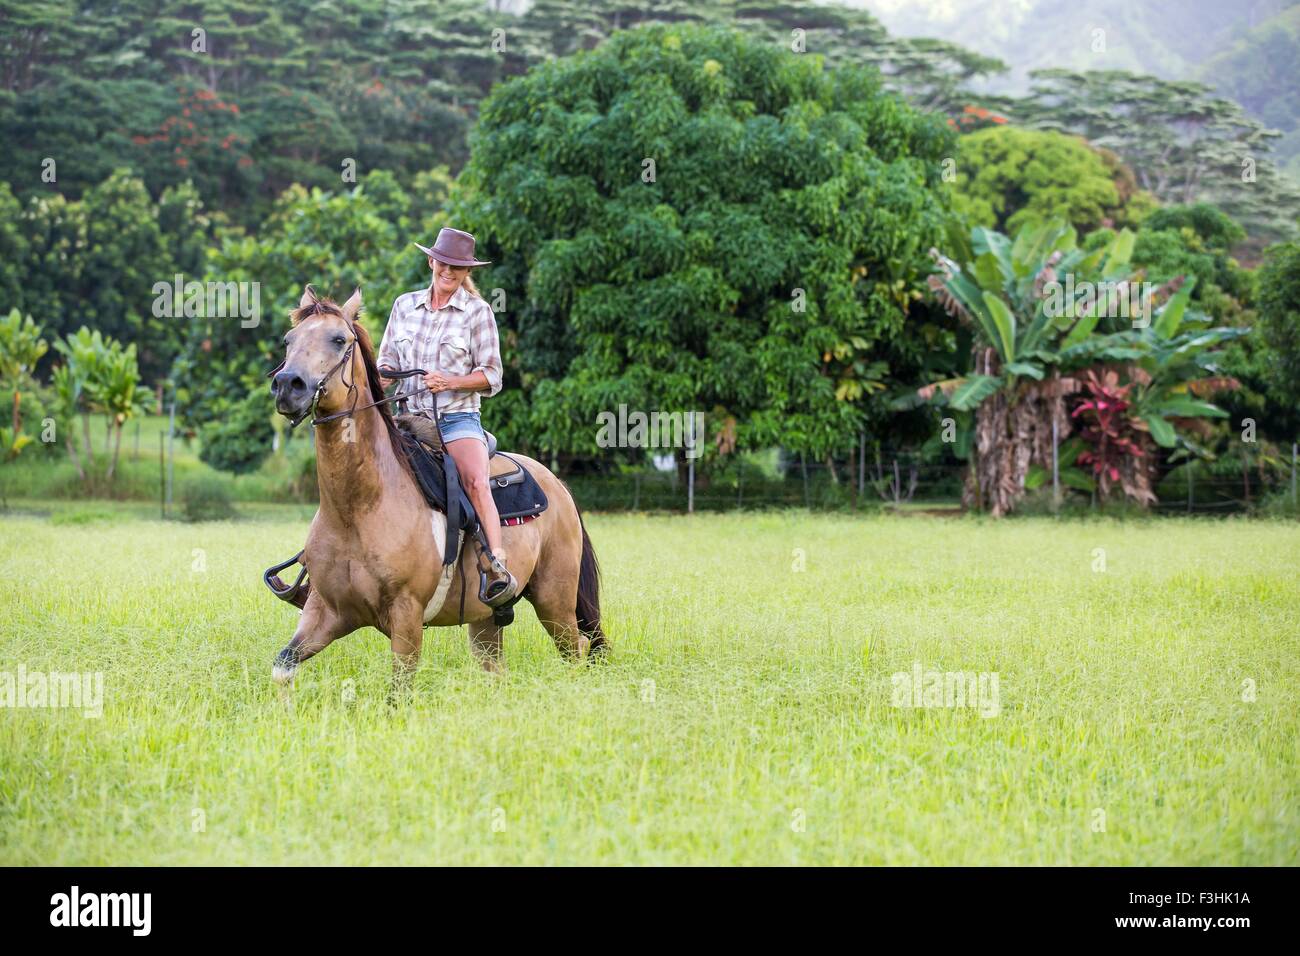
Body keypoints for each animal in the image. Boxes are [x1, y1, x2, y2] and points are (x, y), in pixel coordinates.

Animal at [267, 284, 605, 688]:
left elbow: (399, 689)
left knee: (577, 650)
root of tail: (557, 486)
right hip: (486, 620)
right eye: (289, 340)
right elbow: (282, 667)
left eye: (338, 340)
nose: (288, 385)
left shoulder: (407, 617)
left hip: (555, 600)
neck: (357, 508)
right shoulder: (325, 612)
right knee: (497, 668)